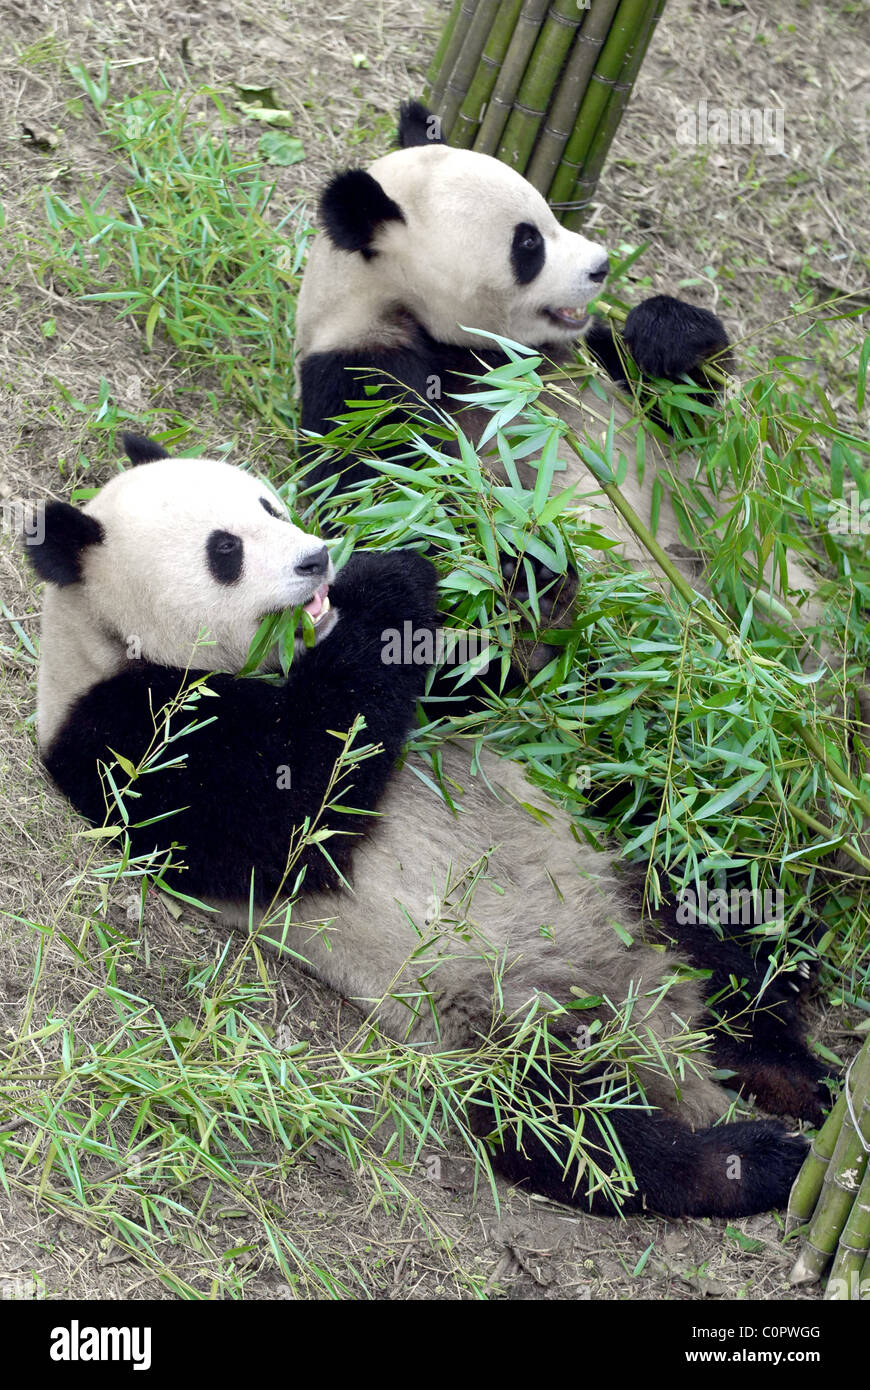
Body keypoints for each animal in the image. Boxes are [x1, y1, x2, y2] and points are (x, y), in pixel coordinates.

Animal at [28, 434, 828, 1221]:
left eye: (270, 505)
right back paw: (754, 1158)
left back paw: (801, 1067)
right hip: (502, 1012)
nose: (316, 558)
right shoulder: (125, 740)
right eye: (224, 551)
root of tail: (659, 1030)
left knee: (723, 935)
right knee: (573, 1131)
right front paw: (391, 578)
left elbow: (475, 683)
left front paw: (527, 569)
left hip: (621, 883)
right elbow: (292, 814)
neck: (109, 638)